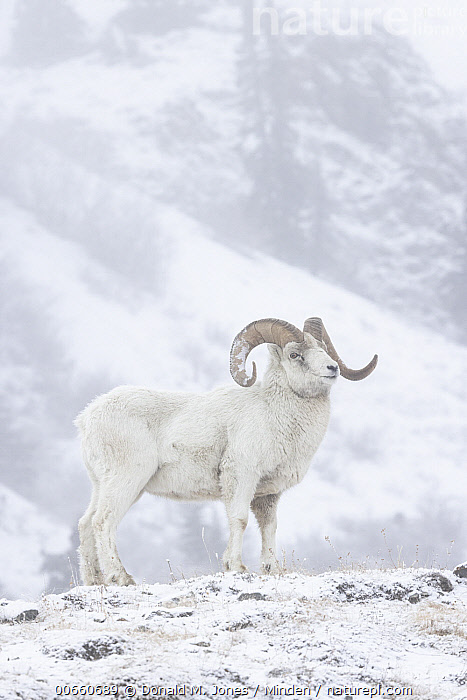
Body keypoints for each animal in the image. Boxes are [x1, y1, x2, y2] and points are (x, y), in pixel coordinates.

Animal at [76, 317, 377, 585]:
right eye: (295, 354)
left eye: (323, 348)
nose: (332, 368)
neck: (274, 413)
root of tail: (87, 418)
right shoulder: (241, 476)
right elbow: (239, 520)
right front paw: (236, 566)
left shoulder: (268, 494)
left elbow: (269, 527)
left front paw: (271, 569)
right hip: (127, 480)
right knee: (104, 522)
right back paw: (121, 578)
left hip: (105, 485)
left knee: (86, 523)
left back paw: (95, 581)